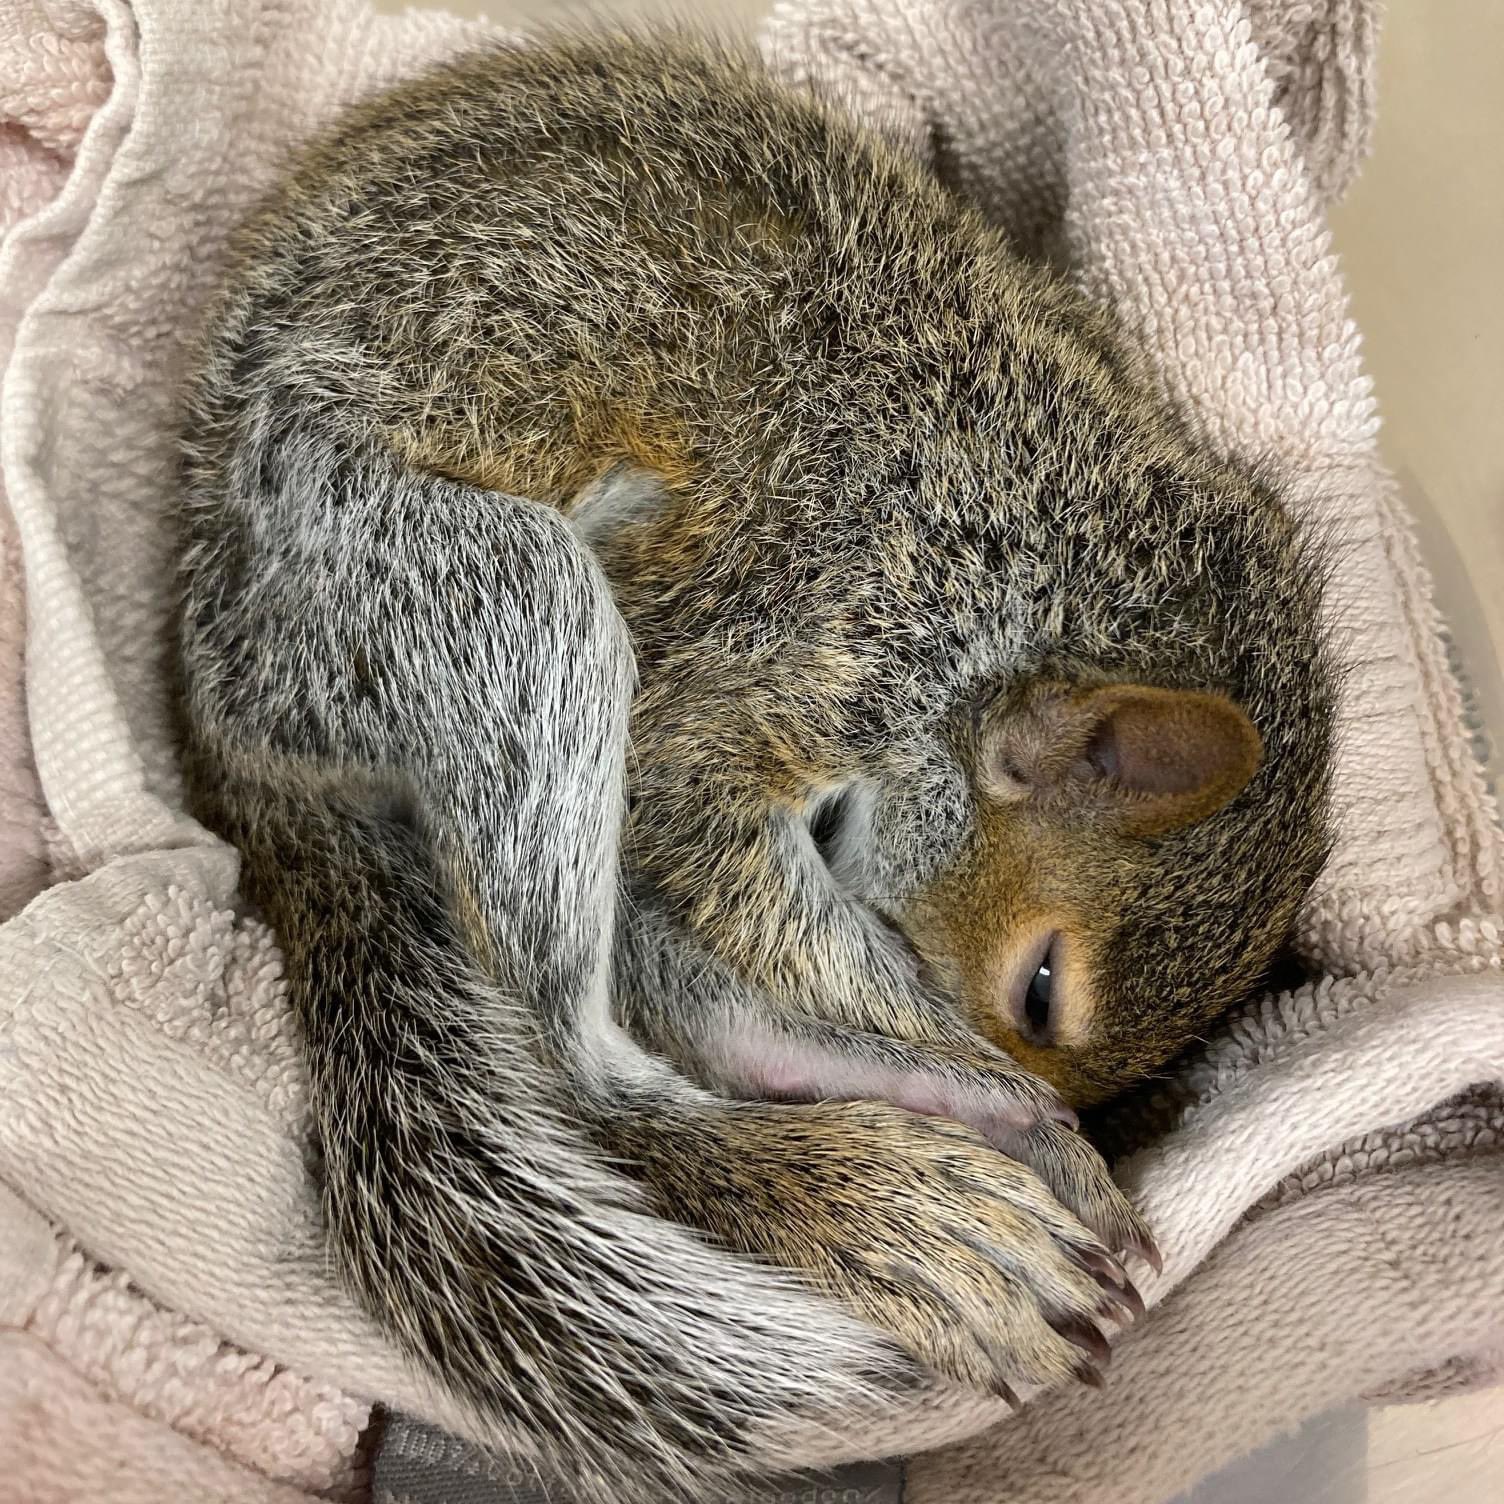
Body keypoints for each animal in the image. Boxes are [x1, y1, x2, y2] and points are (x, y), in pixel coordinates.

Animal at [174, 30, 1336, 1504]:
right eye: (1042, 986)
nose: (1076, 1099)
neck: (1013, 550)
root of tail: (229, 729)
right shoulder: (797, 640)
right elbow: (700, 828)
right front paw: (994, 1082)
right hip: (472, 604)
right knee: (587, 1050)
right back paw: (904, 1122)